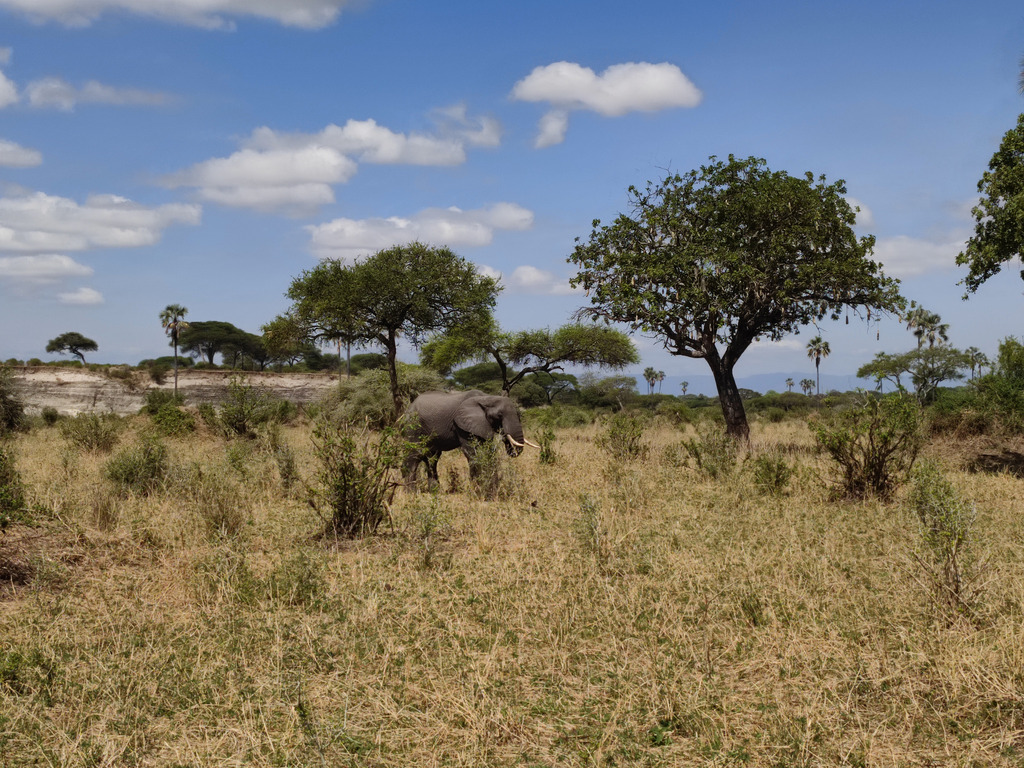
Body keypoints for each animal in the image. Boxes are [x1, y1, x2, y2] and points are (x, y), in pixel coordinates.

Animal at [402, 389, 538, 489]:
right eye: (499, 416)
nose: (505, 434)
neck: (487, 398)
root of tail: (408, 408)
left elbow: (488, 452)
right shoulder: (462, 424)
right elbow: (472, 453)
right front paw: (478, 490)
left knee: (432, 459)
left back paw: (435, 491)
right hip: (413, 427)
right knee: (414, 456)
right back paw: (411, 493)